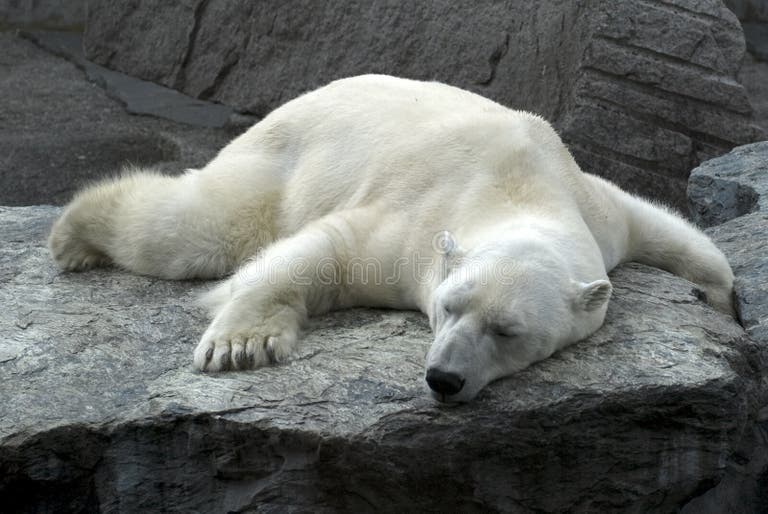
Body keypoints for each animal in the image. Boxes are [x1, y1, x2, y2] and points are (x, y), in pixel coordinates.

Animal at [48, 74, 735, 403]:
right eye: (447, 307)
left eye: (507, 332)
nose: (444, 379)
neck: (520, 188)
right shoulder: (415, 223)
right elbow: (329, 249)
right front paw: (242, 344)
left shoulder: (596, 210)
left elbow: (667, 228)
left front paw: (724, 300)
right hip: (279, 158)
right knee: (197, 228)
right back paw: (73, 234)